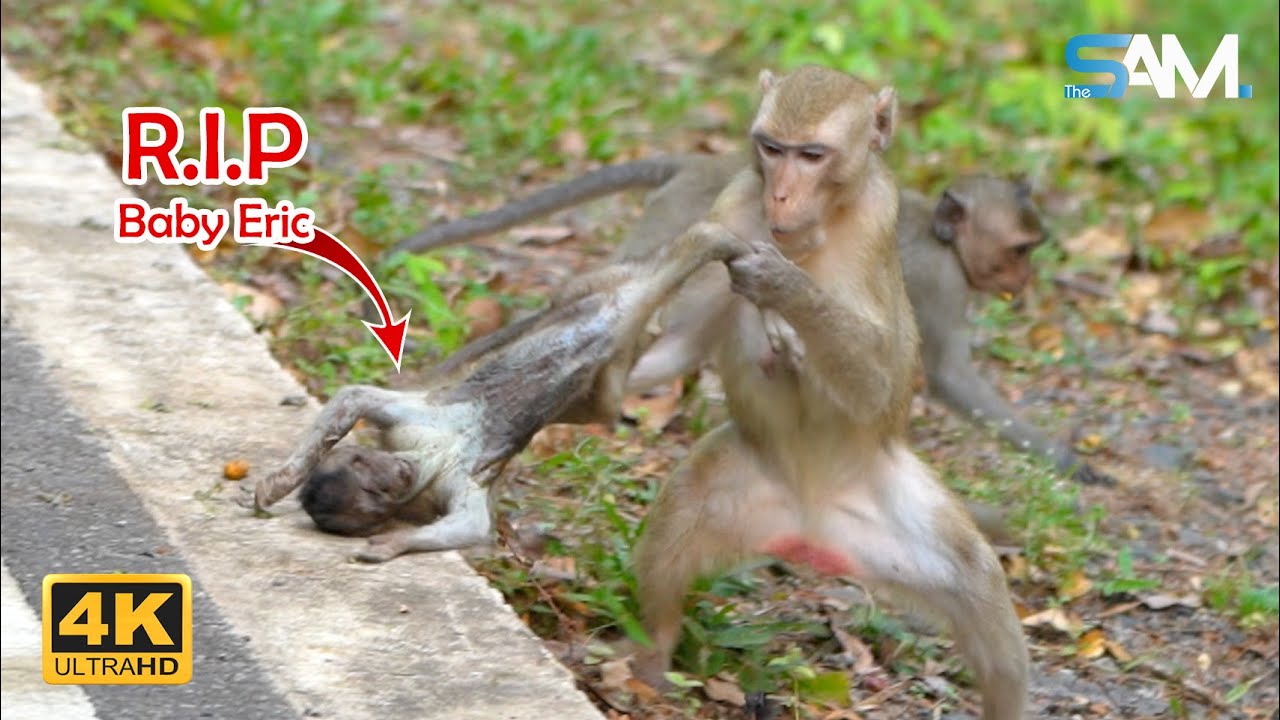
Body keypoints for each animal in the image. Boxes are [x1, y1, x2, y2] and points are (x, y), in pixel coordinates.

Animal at [246, 224, 747, 561]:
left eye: (369, 469)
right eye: (374, 492)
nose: (398, 474)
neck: (429, 460)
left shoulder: (411, 421)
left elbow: (354, 397)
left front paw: (277, 483)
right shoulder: (451, 486)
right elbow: (470, 526)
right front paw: (391, 542)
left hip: (593, 289)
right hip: (612, 343)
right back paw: (724, 250)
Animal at [399, 154, 1111, 485]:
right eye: (1019, 249)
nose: (1023, 280)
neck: (944, 240)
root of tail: (699, 163)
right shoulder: (939, 283)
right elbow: (945, 376)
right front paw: (1066, 460)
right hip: (680, 219)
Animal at [625, 67, 1028, 719]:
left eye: (812, 156)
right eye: (771, 149)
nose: (781, 197)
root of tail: (811, 526)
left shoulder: (876, 227)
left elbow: (876, 384)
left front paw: (782, 286)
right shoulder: (732, 209)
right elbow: (682, 346)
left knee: (975, 581)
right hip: (743, 490)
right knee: (685, 504)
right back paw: (653, 655)